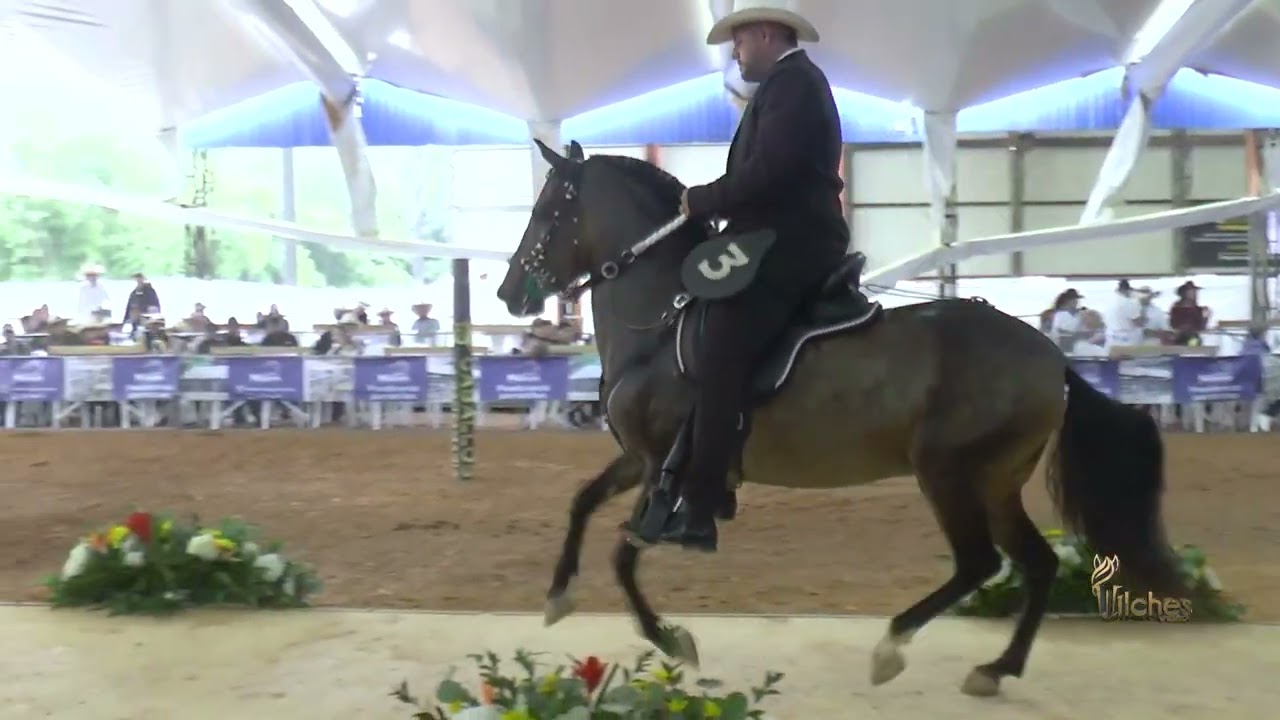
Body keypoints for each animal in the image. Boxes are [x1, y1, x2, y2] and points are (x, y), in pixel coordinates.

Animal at [496, 139, 1184, 697]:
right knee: (1034, 563)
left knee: (980, 563)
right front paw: (558, 596)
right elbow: (582, 503)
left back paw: (893, 646)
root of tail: (1049, 354)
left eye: (547, 210)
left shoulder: (660, 466)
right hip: (995, 481)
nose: (509, 293)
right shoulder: (637, 457)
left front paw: (670, 639)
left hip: (948, 472)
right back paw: (996, 669)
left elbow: (623, 554)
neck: (663, 323)